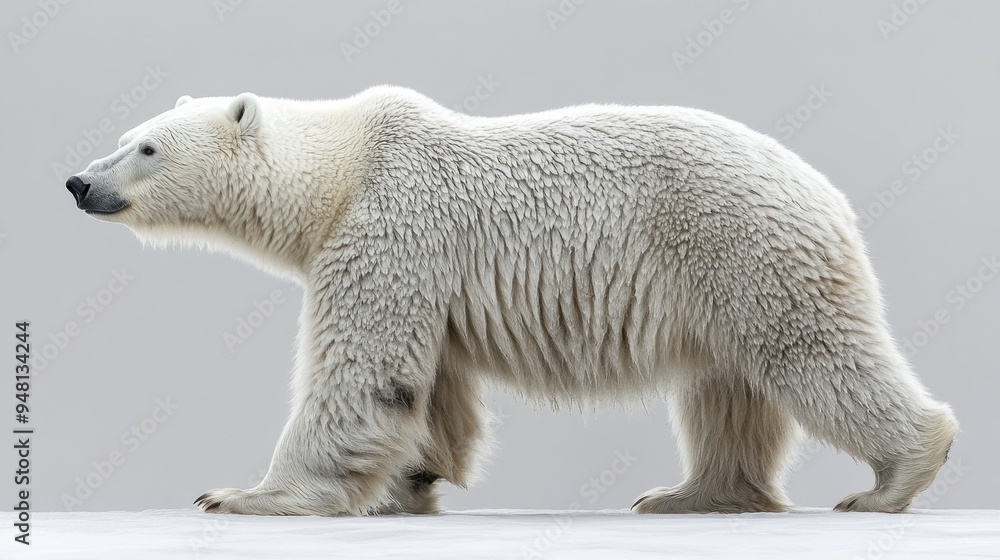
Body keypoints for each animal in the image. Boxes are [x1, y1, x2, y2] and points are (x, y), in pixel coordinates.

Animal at [66, 87, 958, 515]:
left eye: (146, 147)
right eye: (124, 135)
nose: (78, 181)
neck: (343, 169)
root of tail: (826, 193)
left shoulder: (393, 224)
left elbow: (362, 368)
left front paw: (246, 494)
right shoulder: (425, 266)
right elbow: (432, 385)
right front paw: (410, 482)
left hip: (740, 245)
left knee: (810, 356)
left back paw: (895, 476)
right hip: (717, 278)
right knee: (725, 391)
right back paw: (692, 494)